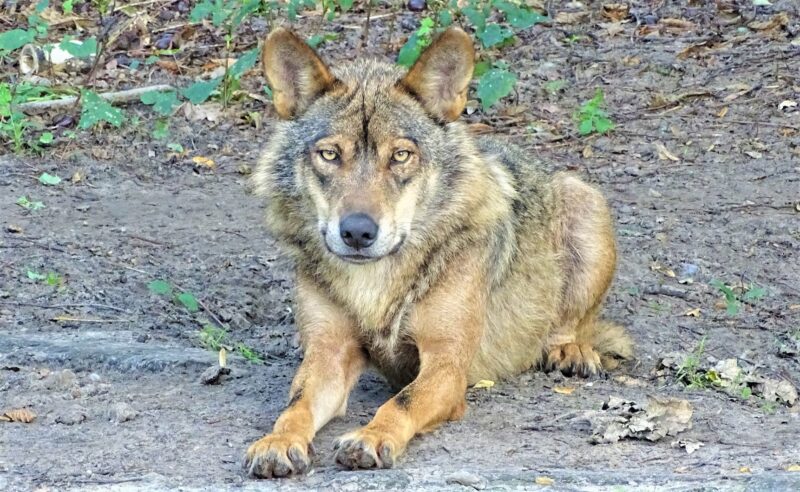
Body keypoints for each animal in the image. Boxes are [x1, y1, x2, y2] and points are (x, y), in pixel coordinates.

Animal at [243, 26, 632, 478]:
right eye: (329, 154)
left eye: (400, 156)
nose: (357, 231)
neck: (375, 284)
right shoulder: (327, 354)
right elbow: (296, 404)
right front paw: (278, 441)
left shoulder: (447, 364)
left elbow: (400, 403)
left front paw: (371, 437)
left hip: (586, 203)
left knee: (571, 325)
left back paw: (569, 350)